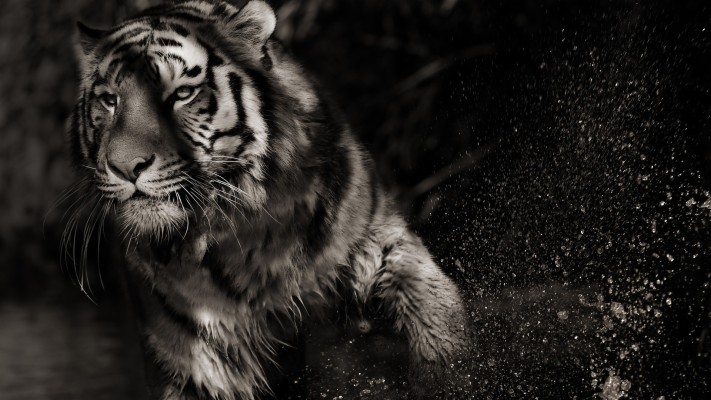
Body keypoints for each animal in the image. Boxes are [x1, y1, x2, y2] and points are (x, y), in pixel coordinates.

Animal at [68, 0, 470, 398]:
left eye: (182, 94)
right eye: (110, 100)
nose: (125, 167)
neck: (248, 235)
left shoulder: (376, 240)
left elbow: (431, 312)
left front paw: (449, 374)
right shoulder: (188, 340)